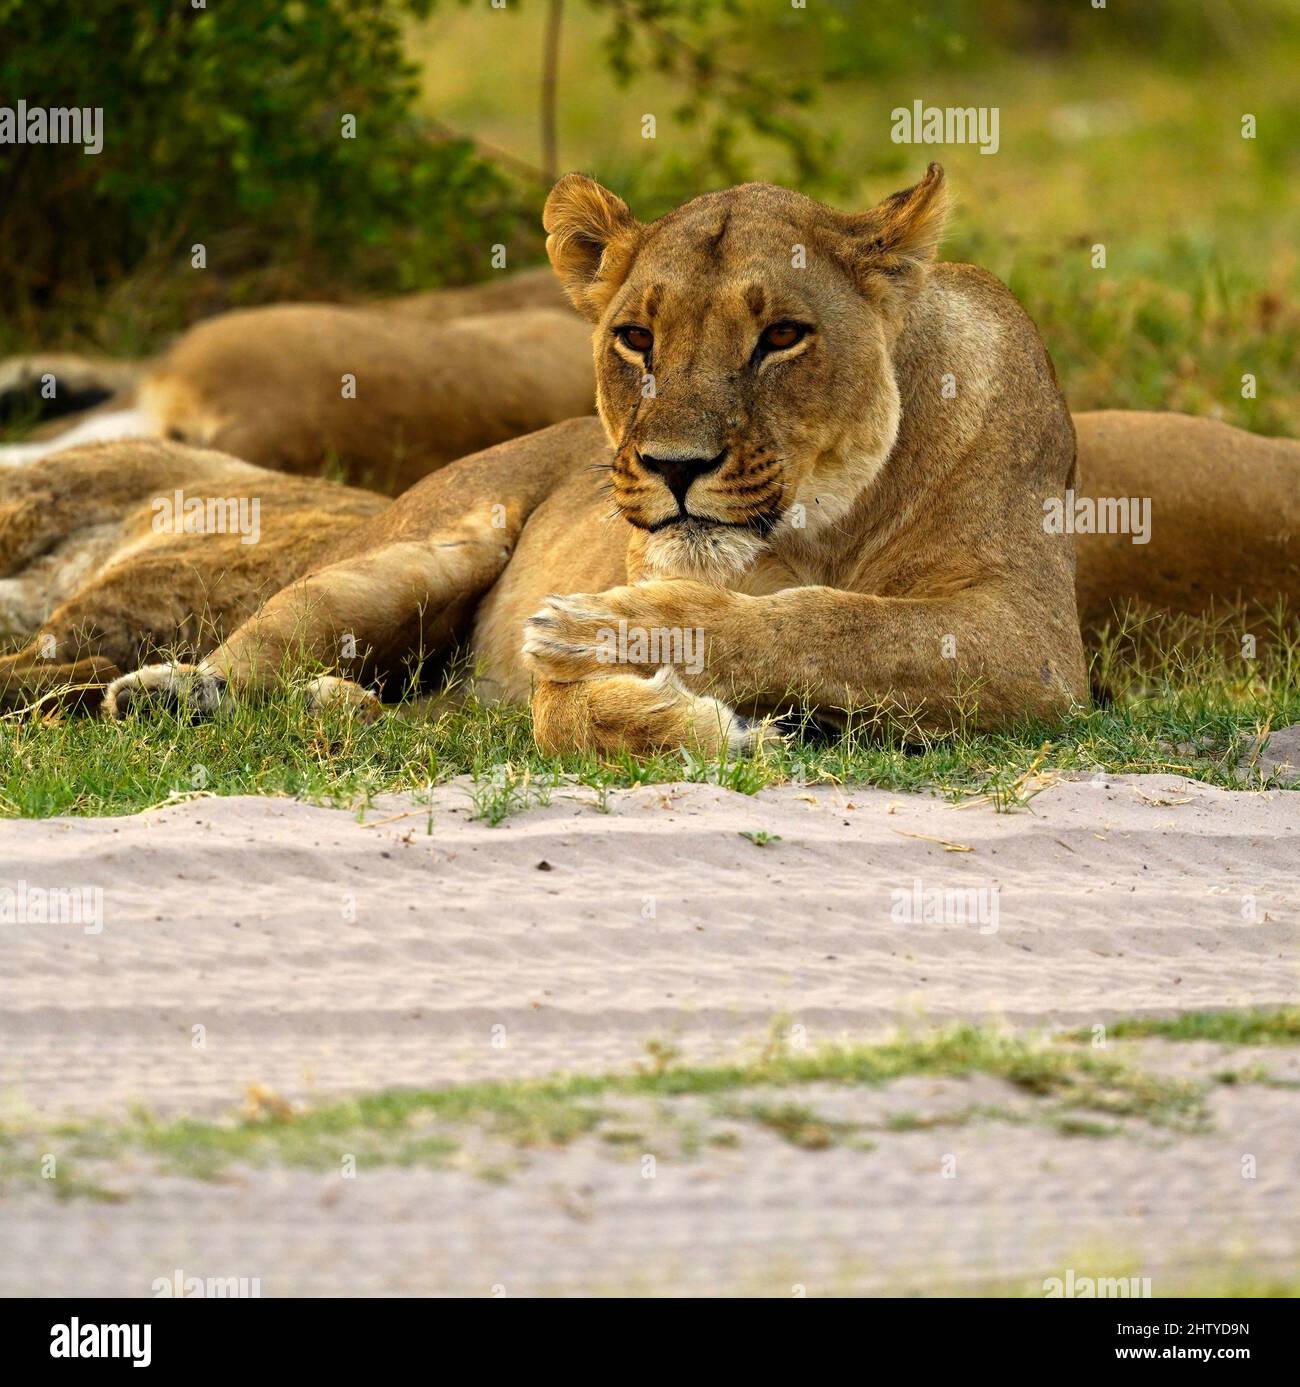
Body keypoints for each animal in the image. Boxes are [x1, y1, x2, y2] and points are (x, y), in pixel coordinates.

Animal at [96, 166, 1299, 753]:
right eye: (636, 336)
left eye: (783, 336)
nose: (674, 464)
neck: (828, 519)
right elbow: (562, 708)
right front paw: (690, 715)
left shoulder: (1027, 642)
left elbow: (836, 623)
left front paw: (633, 642)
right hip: (414, 552)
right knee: (273, 636)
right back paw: (172, 696)